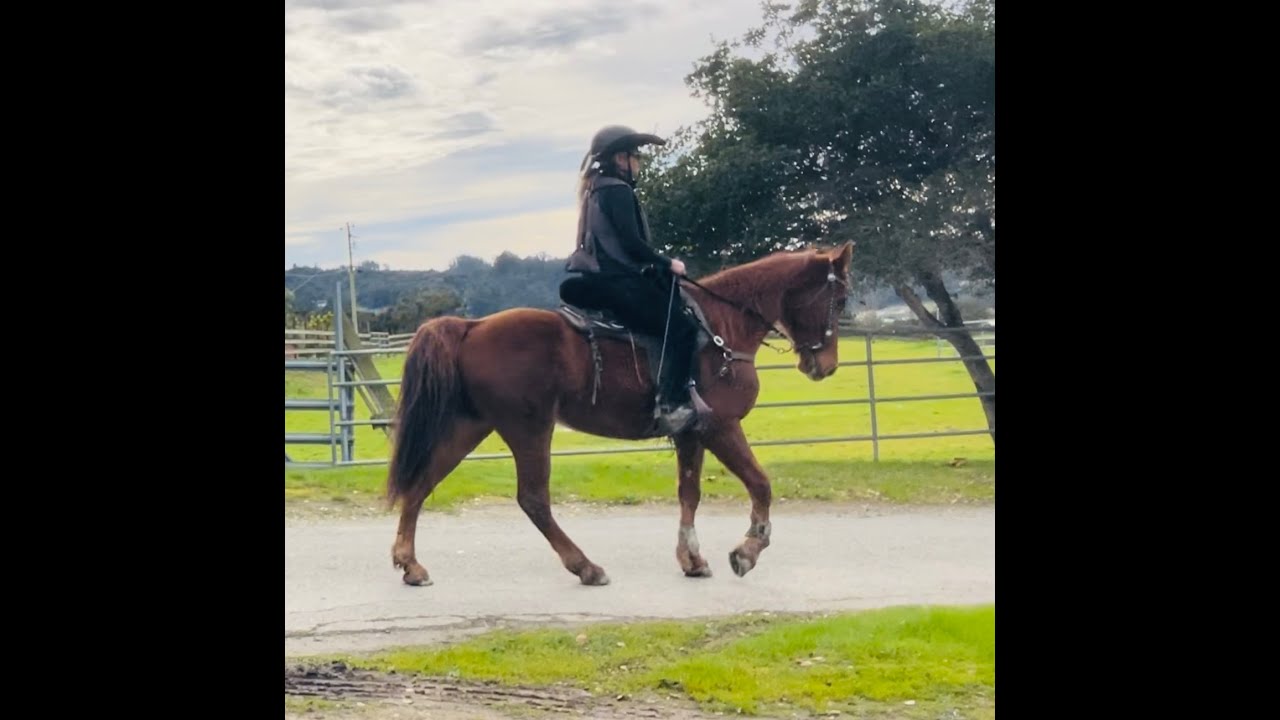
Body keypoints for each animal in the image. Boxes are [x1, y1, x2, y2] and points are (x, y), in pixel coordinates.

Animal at [386, 241, 854, 586]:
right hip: (528, 428)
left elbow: (689, 493)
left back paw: (411, 563)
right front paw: (748, 551)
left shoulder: (691, 434)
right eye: (840, 299)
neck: (720, 328)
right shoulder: (721, 427)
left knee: (422, 482)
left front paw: (692, 559)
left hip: (472, 426)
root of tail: (473, 326)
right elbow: (760, 484)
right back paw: (585, 567)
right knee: (533, 499)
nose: (826, 366)